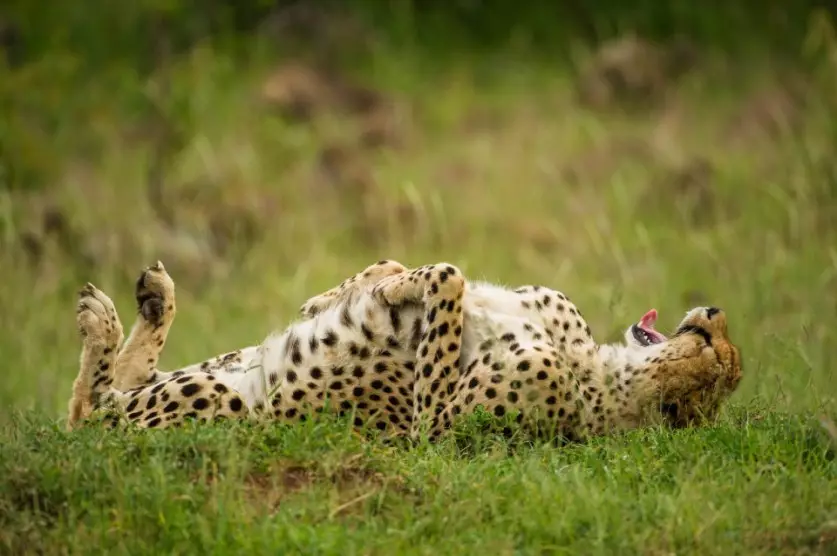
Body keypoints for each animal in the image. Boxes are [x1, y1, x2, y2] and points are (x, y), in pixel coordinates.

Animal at [68, 260, 740, 444]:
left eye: (716, 353)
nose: (713, 311)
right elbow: (404, 268)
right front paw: (343, 295)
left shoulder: (430, 428)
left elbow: (449, 277)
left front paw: (394, 292)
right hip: (219, 366)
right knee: (111, 392)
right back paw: (150, 300)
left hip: (224, 405)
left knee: (93, 415)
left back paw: (103, 322)